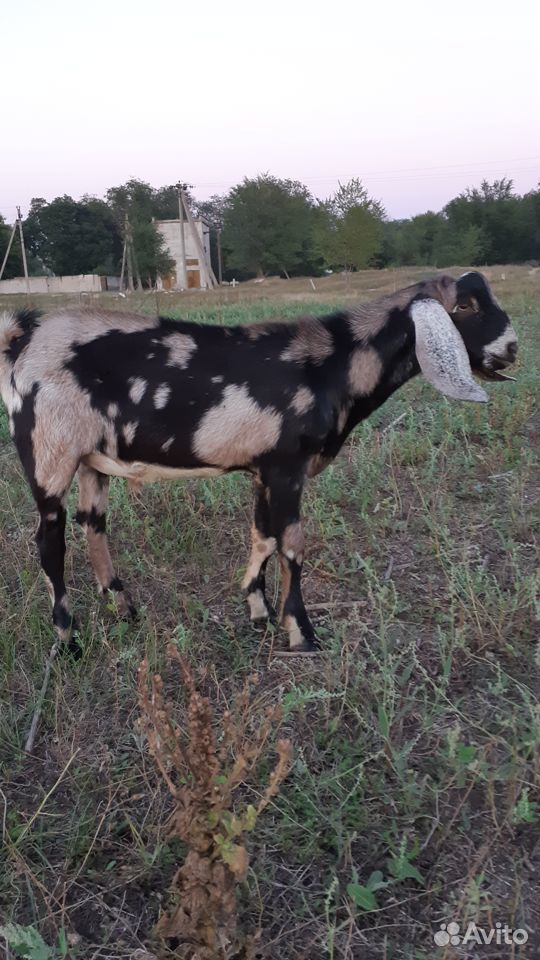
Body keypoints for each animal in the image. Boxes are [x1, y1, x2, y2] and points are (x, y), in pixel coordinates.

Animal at [0, 274, 520, 656]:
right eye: (466, 306)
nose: (513, 347)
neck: (332, 364)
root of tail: (22, 344)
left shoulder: (264, 470)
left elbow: (262, 535)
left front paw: (258, 610)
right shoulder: (288, 467)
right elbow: (292, 546)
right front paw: (302, 634)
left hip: (93, 460)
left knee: (93, 525)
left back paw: (124, 608)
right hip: (49, 453)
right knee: (49, 542)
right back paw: (68, 640)